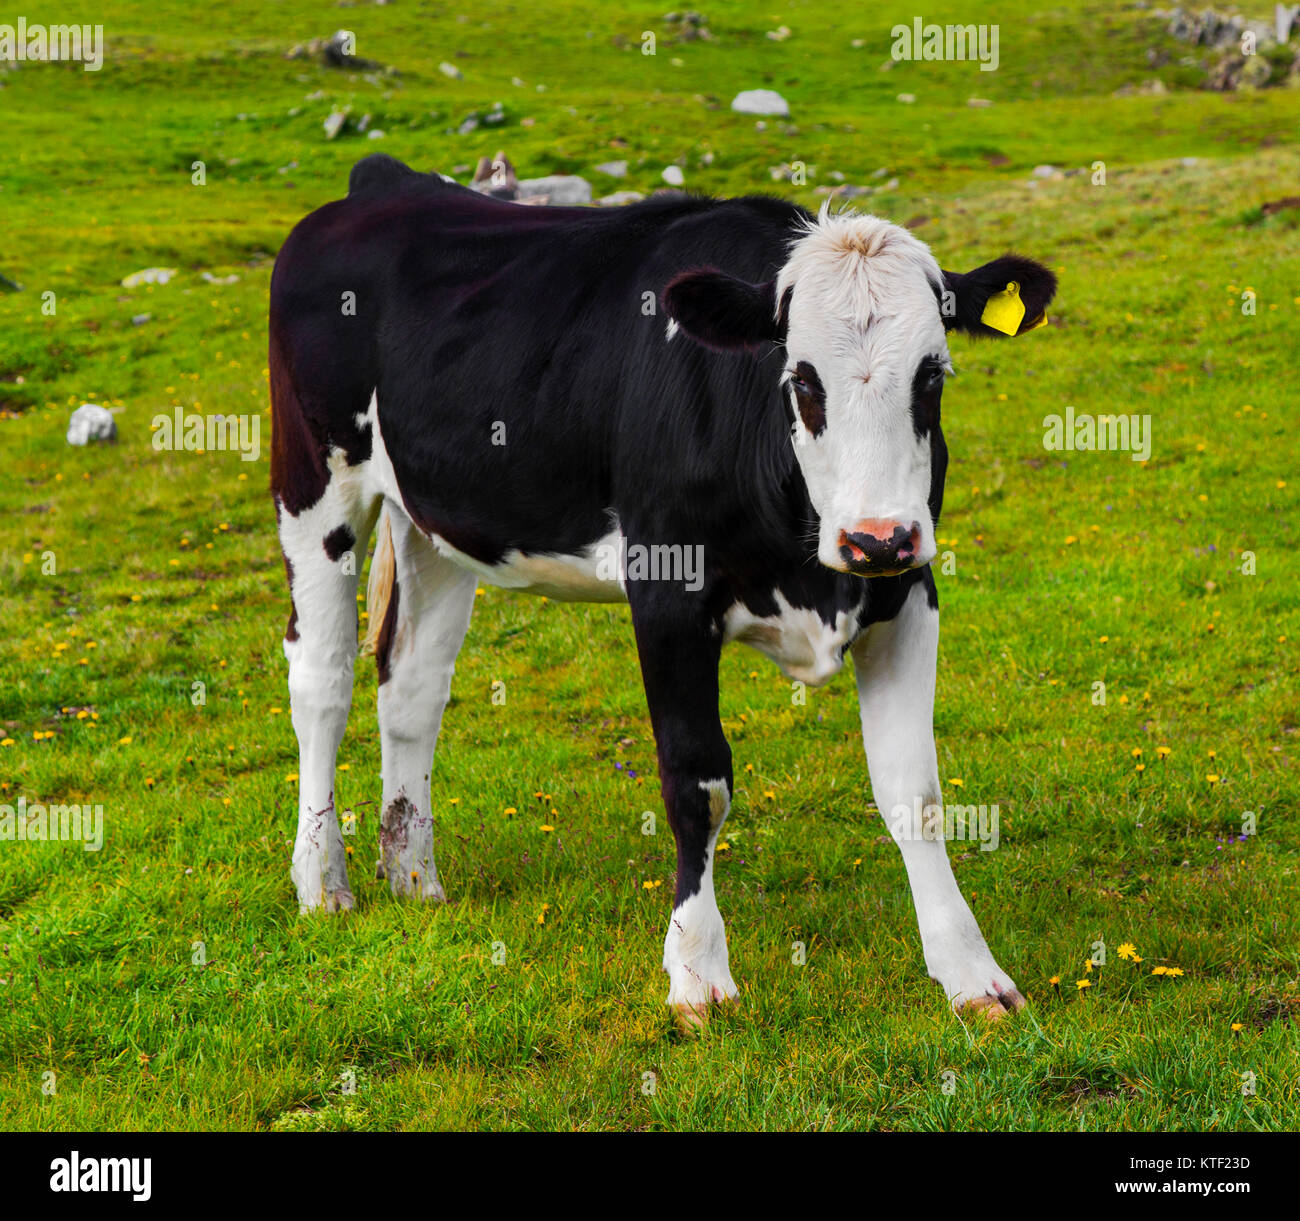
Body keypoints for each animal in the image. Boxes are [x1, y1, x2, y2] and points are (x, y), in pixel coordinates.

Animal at [269, 153, 1056, 1028]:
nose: (876, 536)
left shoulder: (907, 593)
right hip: (315, 484)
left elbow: (914, 790)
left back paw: (414, 878)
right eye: (801, 380)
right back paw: (322, 881)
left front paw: (970, 972)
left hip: (434, 516)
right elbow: (696, 781)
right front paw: (698, 971)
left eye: (933, 376)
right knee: (322, 680)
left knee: (409, 686)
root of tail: (387, 182)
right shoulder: (668, 590)